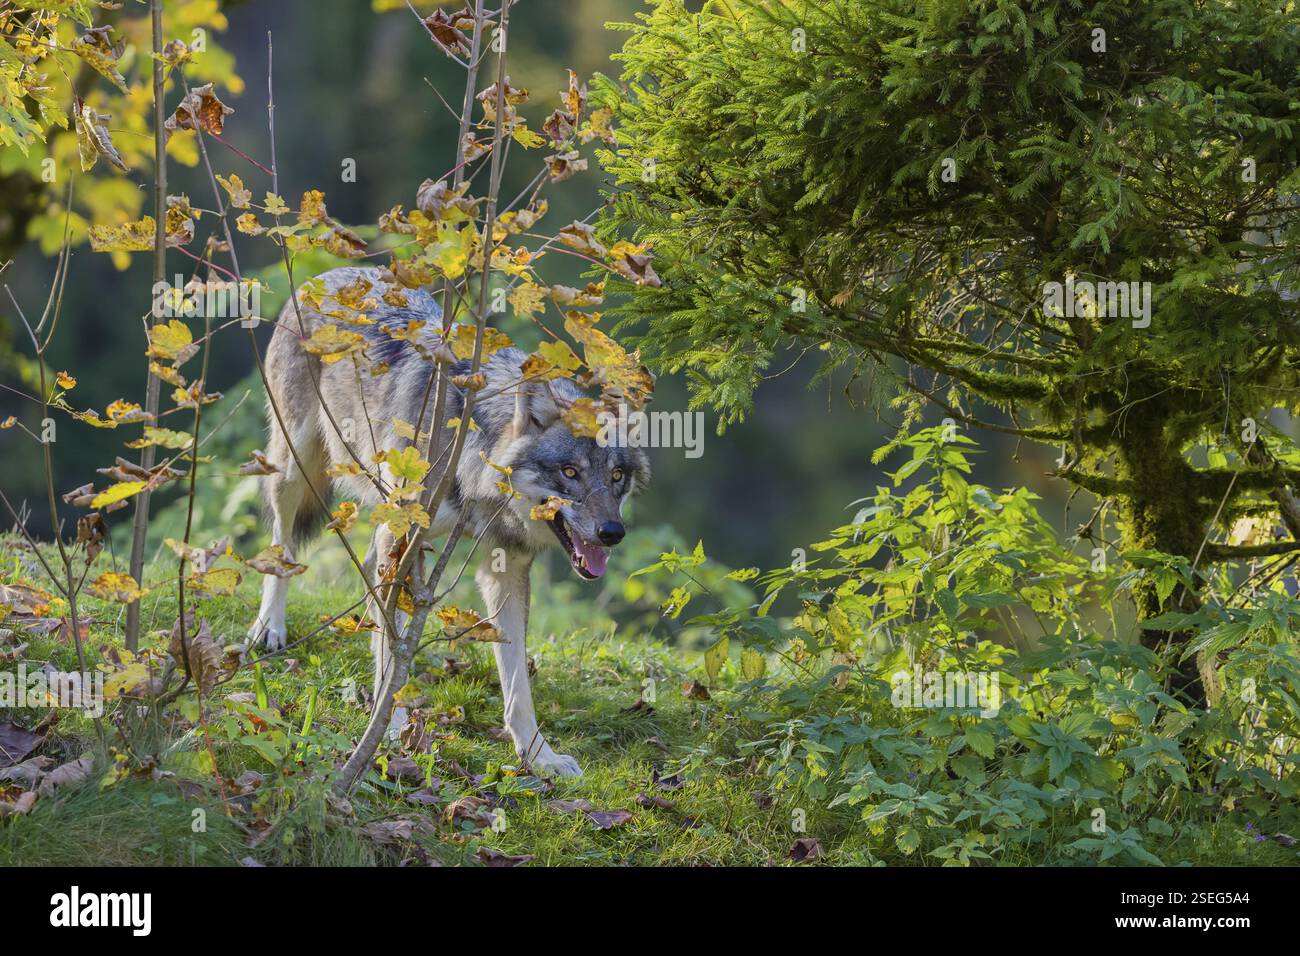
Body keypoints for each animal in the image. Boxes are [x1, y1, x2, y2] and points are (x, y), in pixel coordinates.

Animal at [248, 266, 649, 777]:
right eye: (570, 472)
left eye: (616, 476)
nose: (612, 534)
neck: (474, 451)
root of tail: (334, 273)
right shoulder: (402, 532)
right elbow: (396, 651)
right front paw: (393, 730)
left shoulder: (506, 568)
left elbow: (516, 680)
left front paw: (538, 755)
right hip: (294, 469)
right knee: (282, 544)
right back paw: (269, 628)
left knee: (370, 573)